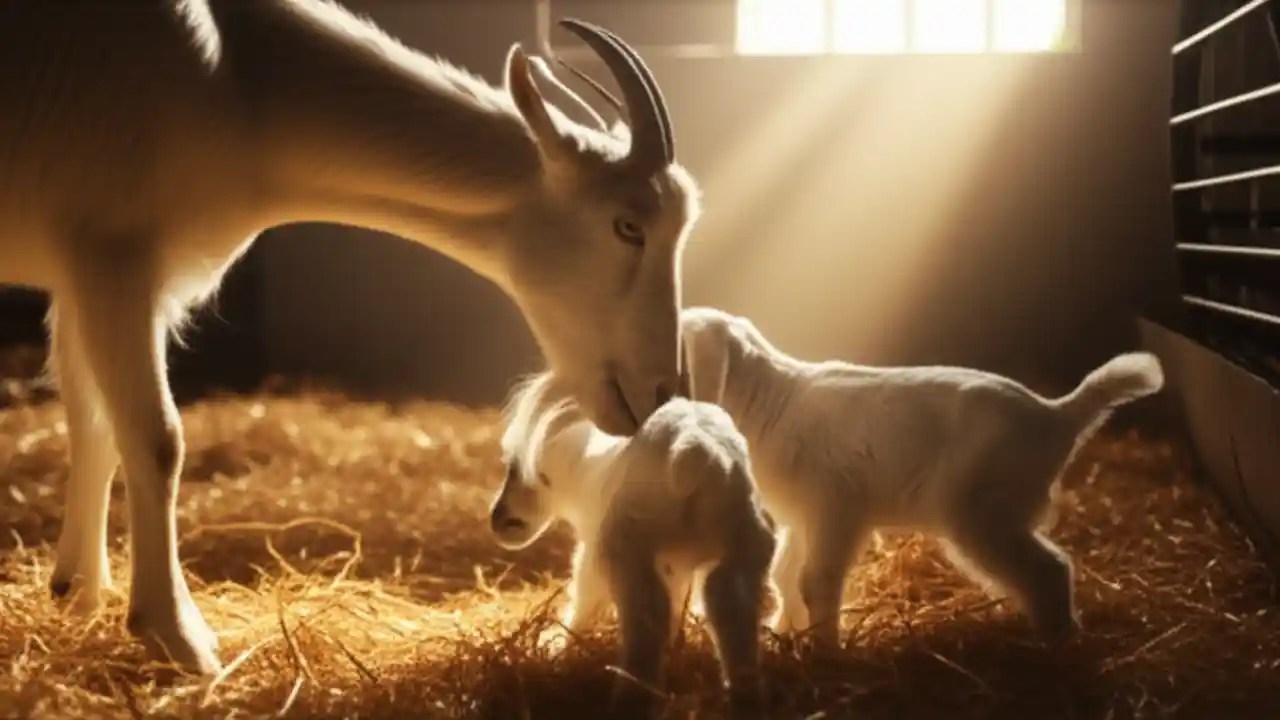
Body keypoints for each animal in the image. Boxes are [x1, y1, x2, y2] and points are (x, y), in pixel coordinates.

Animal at [0, 0, 701, 673]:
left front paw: (79, 595)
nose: (663, 391)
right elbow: (156, 439)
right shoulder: (117, 256)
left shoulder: (86, 274)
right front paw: (177, 636)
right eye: (629, 226)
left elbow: (95, 427)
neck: (236, 84)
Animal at [489, 372, 776, 716]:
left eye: (517, 468)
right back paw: (745, 700)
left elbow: (585, 592)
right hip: (745, 542)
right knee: (730, 608)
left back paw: (631, 699)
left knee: (647, 615)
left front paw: (562, 643)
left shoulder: (594, 545)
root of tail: (693, 452)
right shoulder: (674, 562)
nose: (498, 521)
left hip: (628, 544)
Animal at [680, 307, 1164, 648]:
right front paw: (785, 633)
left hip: (984, 511)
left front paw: (825, 653)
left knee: (1049, 568)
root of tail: (1058, 414)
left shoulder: (836, 505)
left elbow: (816, 580)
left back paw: (1056, 641)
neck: (769, 402)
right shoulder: (804, 517)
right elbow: (785, 575)